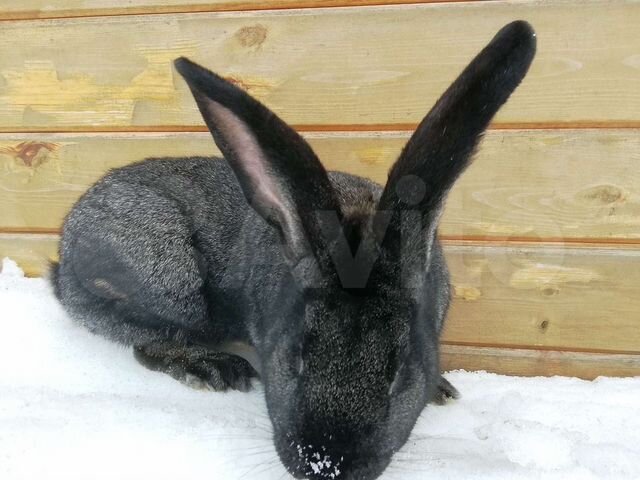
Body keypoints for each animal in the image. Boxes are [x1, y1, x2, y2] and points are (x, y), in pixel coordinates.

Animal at [50, 20, 536, 480]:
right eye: (295, 358)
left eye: (399, 372)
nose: (324, 465)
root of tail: (64, 260)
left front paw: (440, 388)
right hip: (171, 276)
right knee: (143, 340)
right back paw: (215, 369)